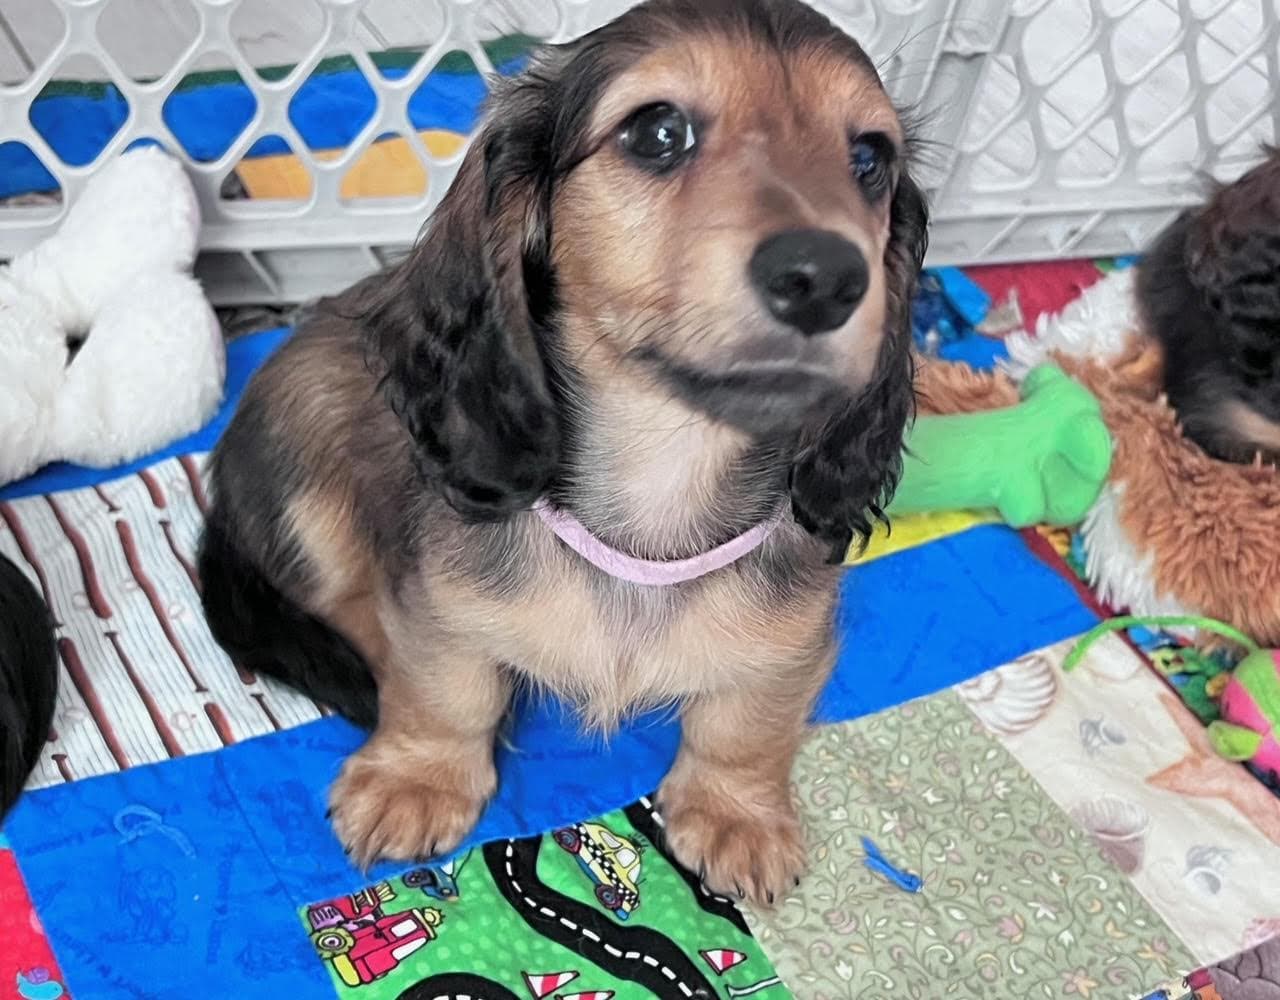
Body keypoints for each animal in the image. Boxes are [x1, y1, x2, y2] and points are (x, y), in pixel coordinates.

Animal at [199, 0, 926, 906]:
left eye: (869, 159)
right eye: (658, 132)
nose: (826, 278)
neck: (663, 469)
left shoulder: (796, 630)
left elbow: (748, 718)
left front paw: (739, 813)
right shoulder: (436, 604)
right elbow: (444, 687)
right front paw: (417, 777)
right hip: (308, 479)